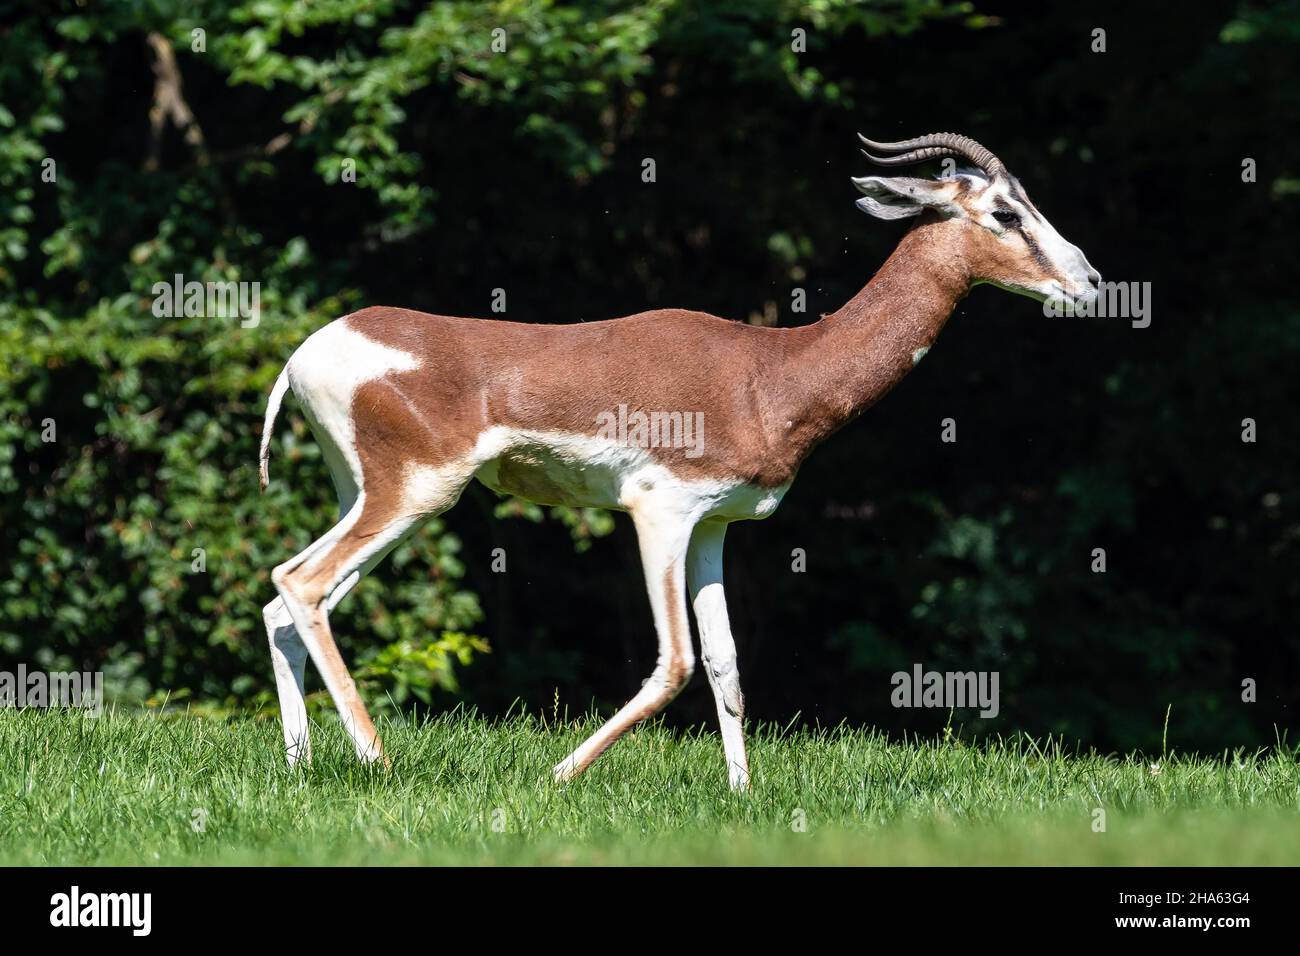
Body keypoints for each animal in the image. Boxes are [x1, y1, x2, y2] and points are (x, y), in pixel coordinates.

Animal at [258, 132, 1100, 790]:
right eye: (1005, 212)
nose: (1091, 282)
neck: (771, 372)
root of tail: (304, 353)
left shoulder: (713, 527)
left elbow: (725, 664)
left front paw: (742, 794)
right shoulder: (658, 512)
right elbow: (674, 663)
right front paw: (557, 775)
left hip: (370, 496)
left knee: (288, 599)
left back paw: (301, 765)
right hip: (415, 495)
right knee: (302, 583)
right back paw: (376, 761)